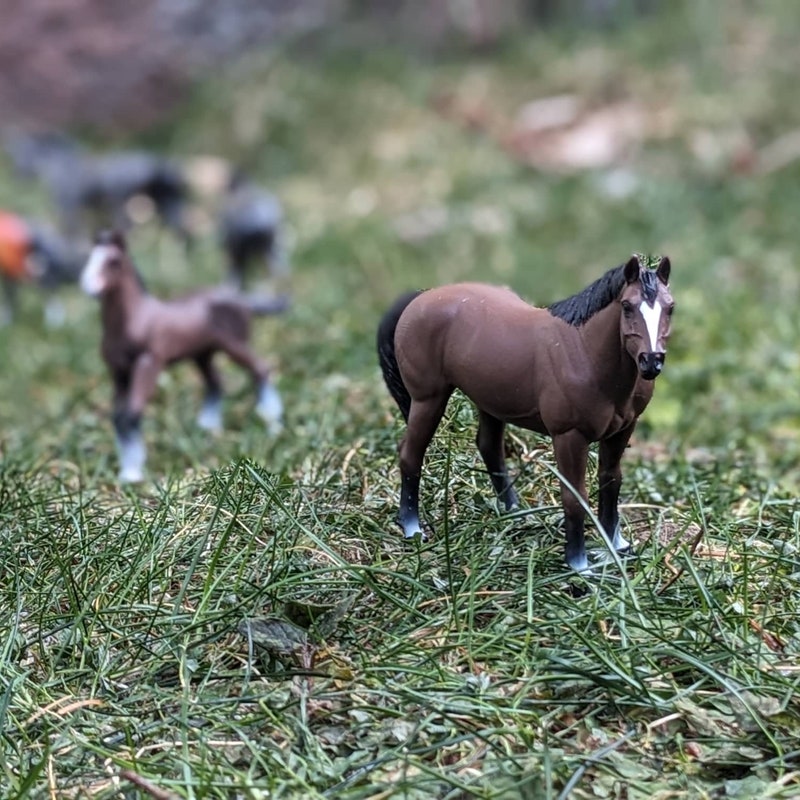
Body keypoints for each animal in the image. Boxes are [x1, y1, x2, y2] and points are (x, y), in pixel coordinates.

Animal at [4, 131, 193, 247]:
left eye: (21, 156)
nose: (15, 176)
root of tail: (158, 164)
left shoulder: (68, 206)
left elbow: (71, 232)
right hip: (169, 206)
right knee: (181, 233)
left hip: (124, 207)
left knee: (131, 231)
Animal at [80, 230, 288, 483]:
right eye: (90, 258)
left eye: (114, 261)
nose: (89, 286)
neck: (135, 320)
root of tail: (242, 299)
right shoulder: (119, 372)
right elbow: (119, 418)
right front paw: (128, 470)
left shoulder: (148, 365)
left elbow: (132, 415)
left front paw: (134, 471)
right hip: (203, 355)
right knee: (216, 383)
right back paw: (208, 427)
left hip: (233, 345)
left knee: (260, 369)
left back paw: (272, 423)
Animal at [377, 254, 673, 573]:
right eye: (627, 306)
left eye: (670, 307)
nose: (651, 362)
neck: (585, 352)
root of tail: (421, 297)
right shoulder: (569, 437)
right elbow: (574, 496)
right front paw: (579, 564)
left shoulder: (622, 430)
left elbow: (611, 481)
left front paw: (615, 547)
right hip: (427, 401)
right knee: (411, 454)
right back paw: (412, 528)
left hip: (489, 400)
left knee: (488, 447)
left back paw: (515, 514)